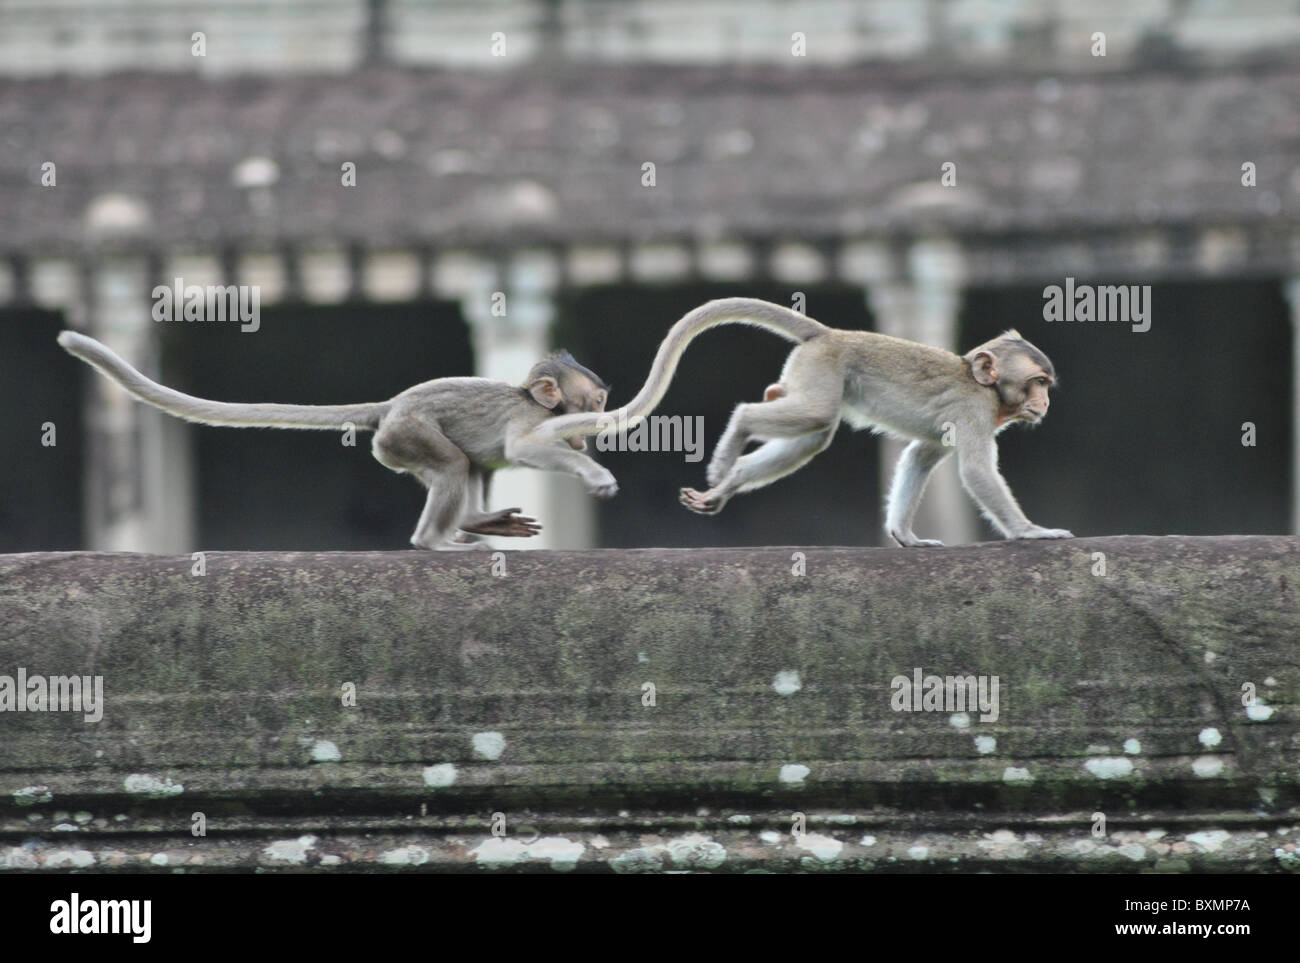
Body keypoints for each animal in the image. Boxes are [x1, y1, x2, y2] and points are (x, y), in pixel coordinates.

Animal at [56, 332, 618, 550]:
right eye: (594, 405)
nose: (592, 433)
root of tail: (388, 408)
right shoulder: (530, 420)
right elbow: (520, 449)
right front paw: (597, 476)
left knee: (472, 466)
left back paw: (477, 522)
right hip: (407, 435)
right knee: (456, 467)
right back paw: (434, 542)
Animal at [535, 297, 1072, 546]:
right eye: (1038, 382)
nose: (1045, 403)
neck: (987, 389)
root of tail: (828, 333)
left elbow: (921, 456)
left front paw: (905, 534)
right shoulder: (974, 411)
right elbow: (977, 471)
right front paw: (1031, 532)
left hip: (812, 371)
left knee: (814, 430)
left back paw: (729, 482)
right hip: (824, 368)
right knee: (812, 417)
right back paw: (737, 436)